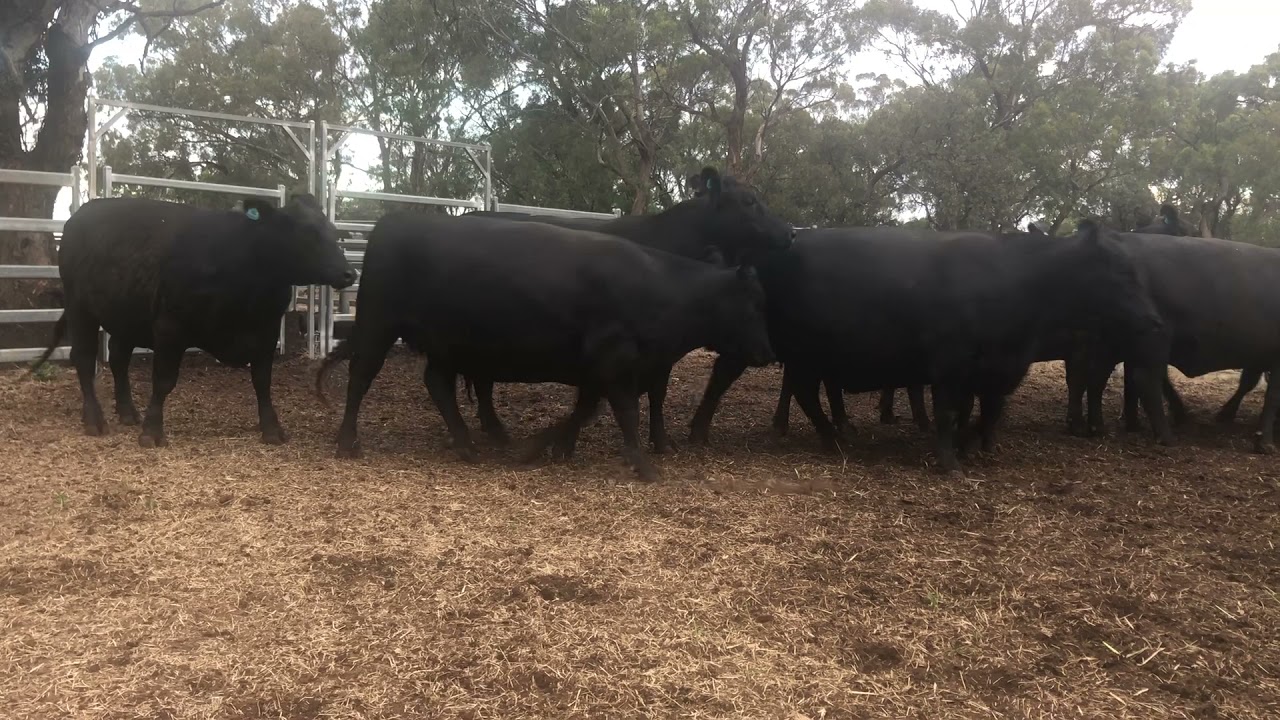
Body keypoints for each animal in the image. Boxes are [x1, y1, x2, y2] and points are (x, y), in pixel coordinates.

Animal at [32, 194, 356, 447]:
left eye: (333, 231)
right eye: (307, 231)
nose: (349, 273)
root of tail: (80, 215)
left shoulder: (266, 333)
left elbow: (262, 382)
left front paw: (272, 429)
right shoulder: (169, 328)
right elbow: (163, 380)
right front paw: (152, 431)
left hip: (126, 317)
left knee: (119, 360)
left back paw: (127, 413)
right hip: (80, 309)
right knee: (85, 359)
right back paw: (94, 419)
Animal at [313, 212, 776, 481]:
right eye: (754, 304)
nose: (768, 352)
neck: (660, 286)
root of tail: (396, 221)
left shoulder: (601, 367)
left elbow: (585, 409)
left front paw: (552, 446)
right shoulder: (614, 360)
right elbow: (623, 410)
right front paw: (643, 465)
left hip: (447, 345)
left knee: (438, 384)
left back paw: (467, 443)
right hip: (378, 325)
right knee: (361, 376)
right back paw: (347, 441)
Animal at [454, 167, 795, 453]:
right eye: (749, 200)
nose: (790, 231)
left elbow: (657, 391)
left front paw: (658, 440)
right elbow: (651, 389)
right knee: (482, 378)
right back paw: (495, 431)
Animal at [686, 221, 1171, 474]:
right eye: (1119, 272)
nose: (1154, 320)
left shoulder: (996, 370)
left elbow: (988, 413)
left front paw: (974, 445)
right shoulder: (949, 365)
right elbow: (947, 412)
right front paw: (950, 459)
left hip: (808, 354)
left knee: (805, 392)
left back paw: (832, 438)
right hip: (754, 343)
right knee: (723, 378)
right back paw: (698, 432)